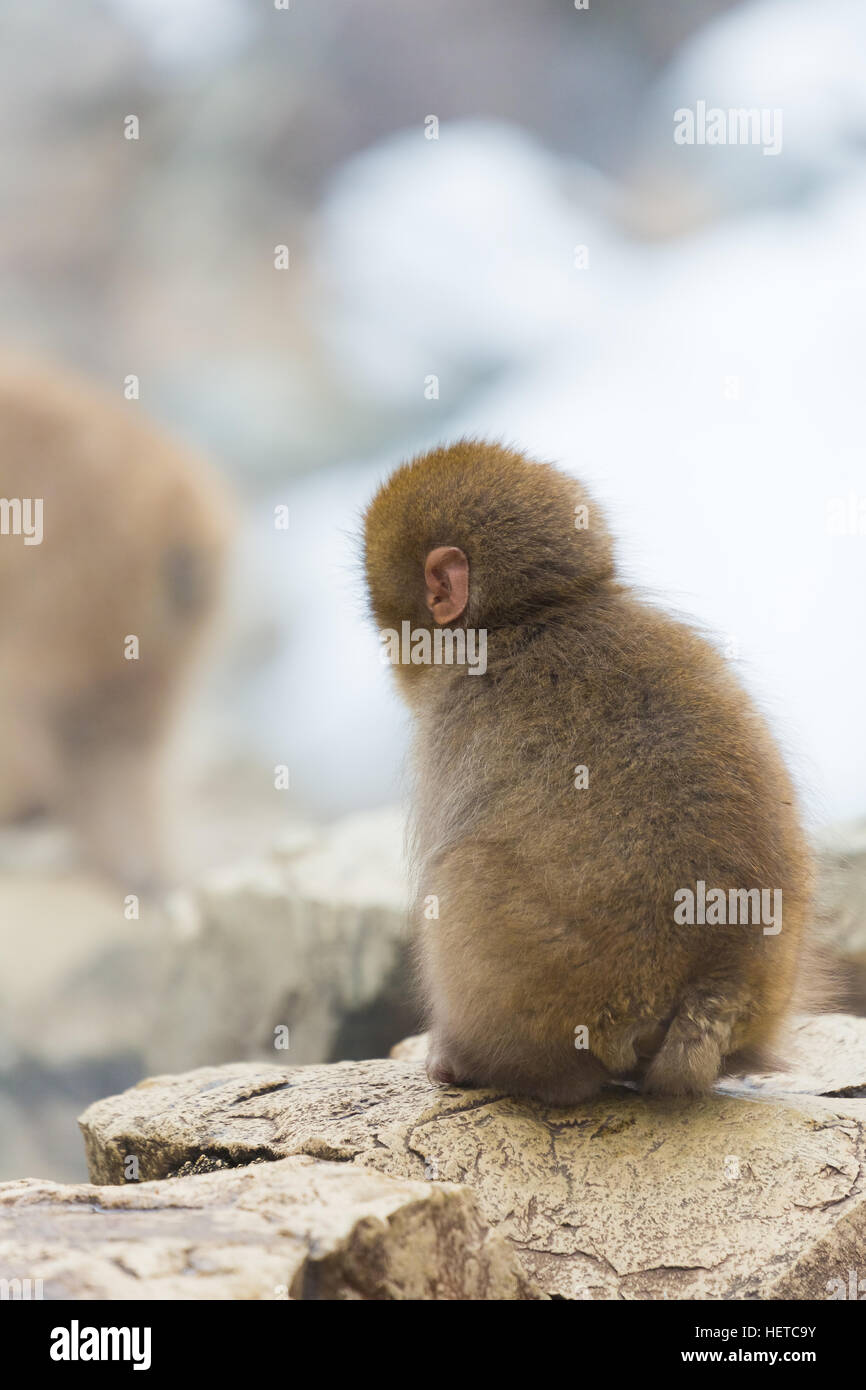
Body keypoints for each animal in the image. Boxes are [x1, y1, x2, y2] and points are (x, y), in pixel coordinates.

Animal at [363, 439, 816, 1103]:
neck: (536, 615)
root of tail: (718, 984)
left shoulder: (451, 722)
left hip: (570, 991)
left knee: (463, 869)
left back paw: (485, 1065)